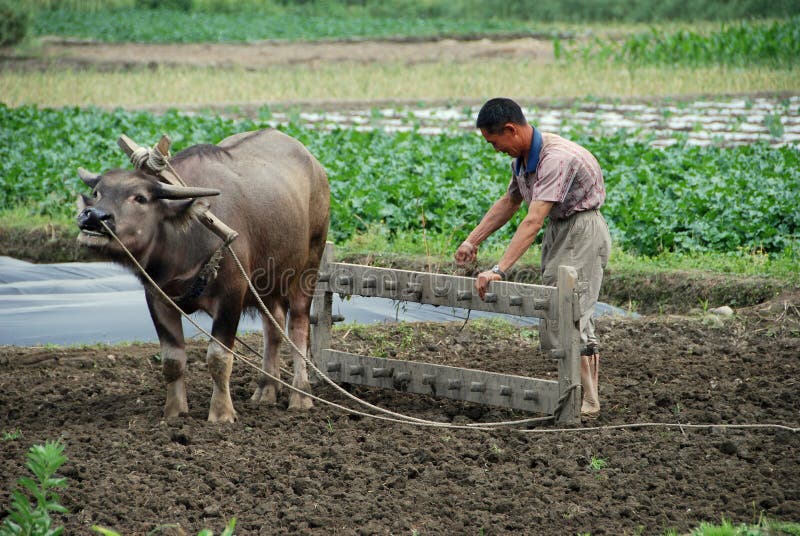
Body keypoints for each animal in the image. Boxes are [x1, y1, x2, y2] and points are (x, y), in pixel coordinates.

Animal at [76, 129, 330, 422]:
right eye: (97, 193)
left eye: (139, 198)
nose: (93, 216)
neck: (183, 241)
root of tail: (316, 167)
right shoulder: (158, 298)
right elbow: (172, 360)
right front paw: (174, 412)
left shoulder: (231, 297)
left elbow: (218, 358)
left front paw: (221, 413)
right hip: (267, 282)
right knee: (273, 327)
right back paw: (265, 390)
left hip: (308, 267)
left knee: (298, 327)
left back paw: (301, 396)